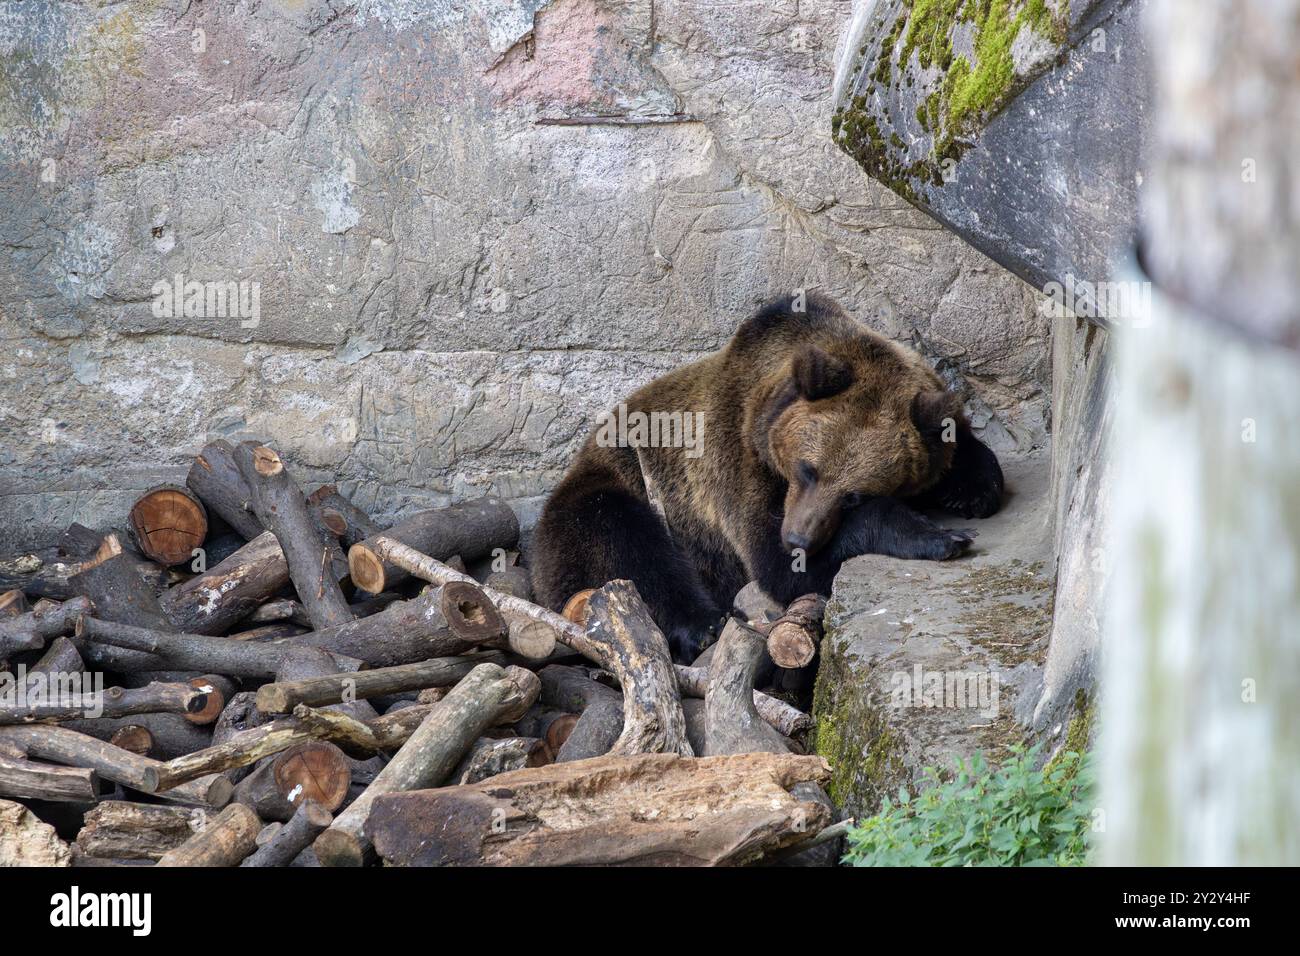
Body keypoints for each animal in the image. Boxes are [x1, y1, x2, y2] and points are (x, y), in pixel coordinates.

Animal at [530, 292, 1004, 661]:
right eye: (808, 469)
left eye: (855, 494)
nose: (798, 539)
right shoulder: (735, 460)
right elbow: (777, 567)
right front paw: (937, 535)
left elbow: (959, 444)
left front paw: (971, 491)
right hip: (616, 488)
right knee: (623, 541)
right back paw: (702, 623)